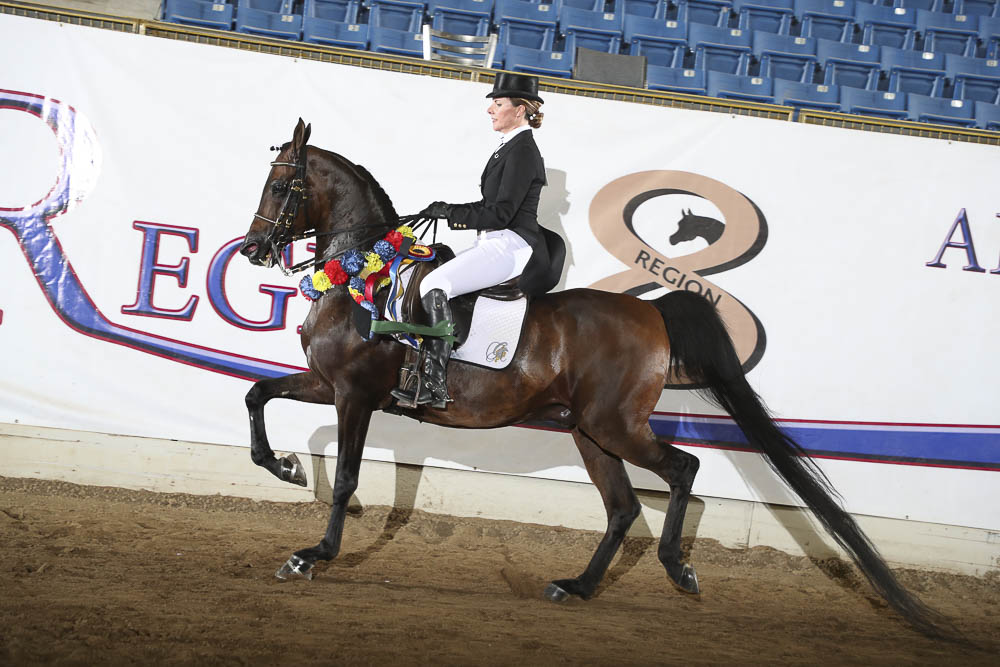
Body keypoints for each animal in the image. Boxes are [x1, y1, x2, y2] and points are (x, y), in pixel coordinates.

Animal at [238, 119, 953, 639]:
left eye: (281, 186)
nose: (252, 250)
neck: (361, 271)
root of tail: (652, 311)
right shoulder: (324, 382)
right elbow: (258, 394)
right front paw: (286, 470)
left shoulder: (356, 393)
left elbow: (347, 478)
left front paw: (311, 554)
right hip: (589, 430)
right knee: (624, 506)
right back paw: (578, 586)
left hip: (613, 424)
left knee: (682, 470)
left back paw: (677, 569)